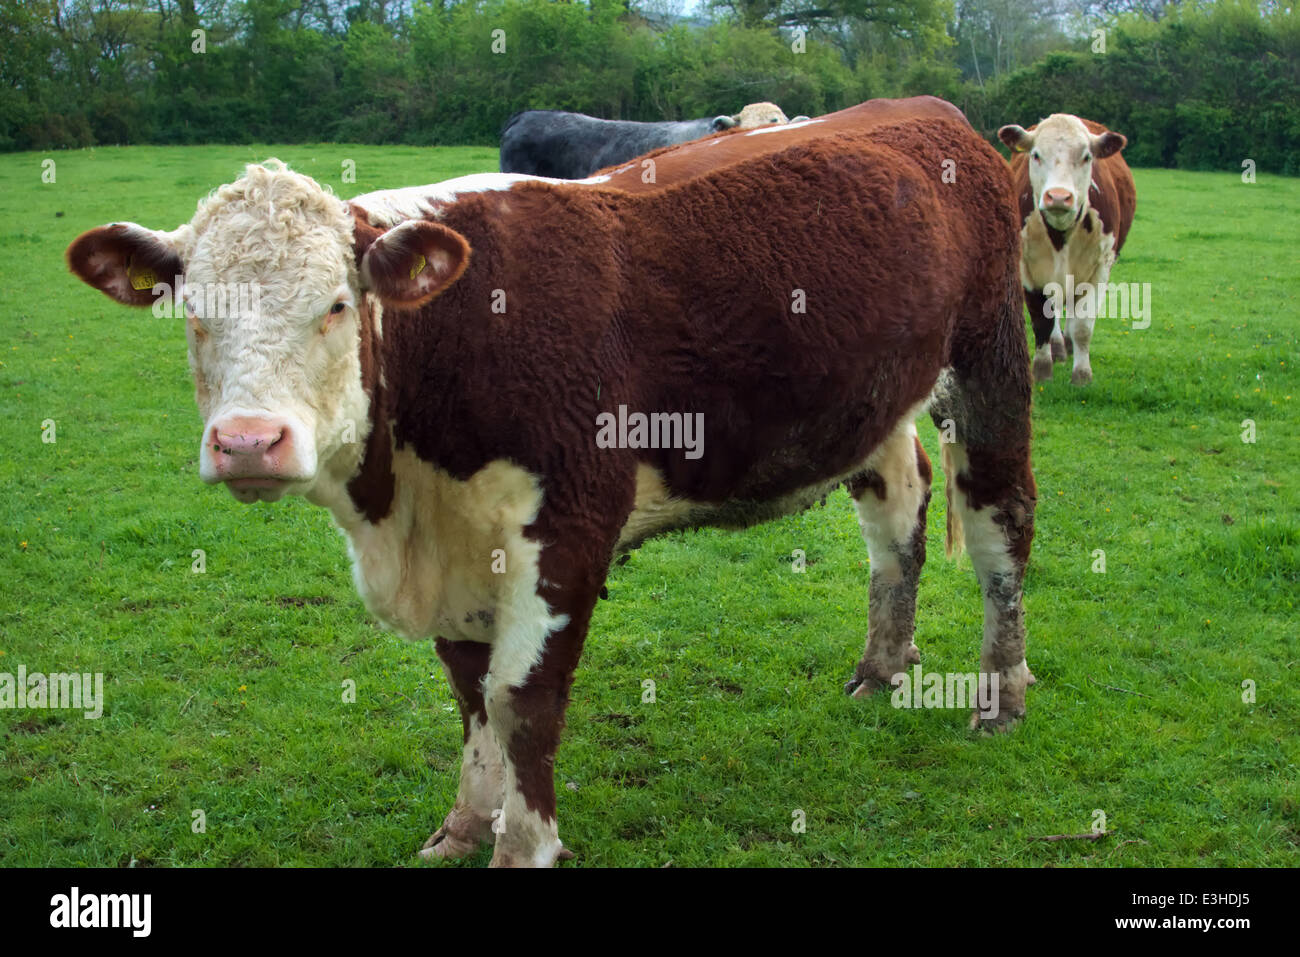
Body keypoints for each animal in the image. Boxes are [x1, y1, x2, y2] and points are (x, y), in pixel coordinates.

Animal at [998, 114, 1137, 385]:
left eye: (1086, 157)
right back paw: (1058, 347)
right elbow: (1041, 321)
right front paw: (1042, 370)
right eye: (1036, 155)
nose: (1059, 196)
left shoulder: (1099, 269)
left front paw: (1082, 375)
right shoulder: (1027, 269)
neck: (1060, 234)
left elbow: (1083, 326)